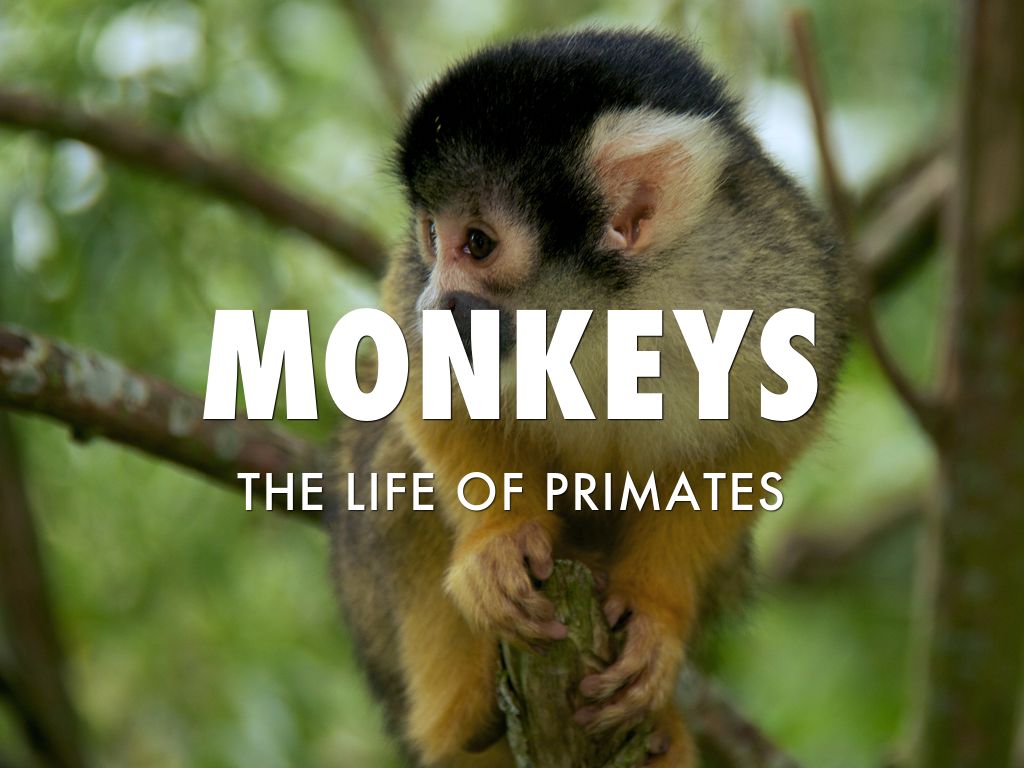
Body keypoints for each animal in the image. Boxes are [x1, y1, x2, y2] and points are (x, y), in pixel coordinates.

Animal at [330, 28, 852, 767]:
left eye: (478, 244)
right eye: (431, 236)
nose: (434, 303)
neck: (609, 306)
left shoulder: (784, 270)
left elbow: (760, 438)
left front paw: (655, 610)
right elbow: (420, 373)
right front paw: (500, 538)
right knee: (394, 461)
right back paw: (461, 719)